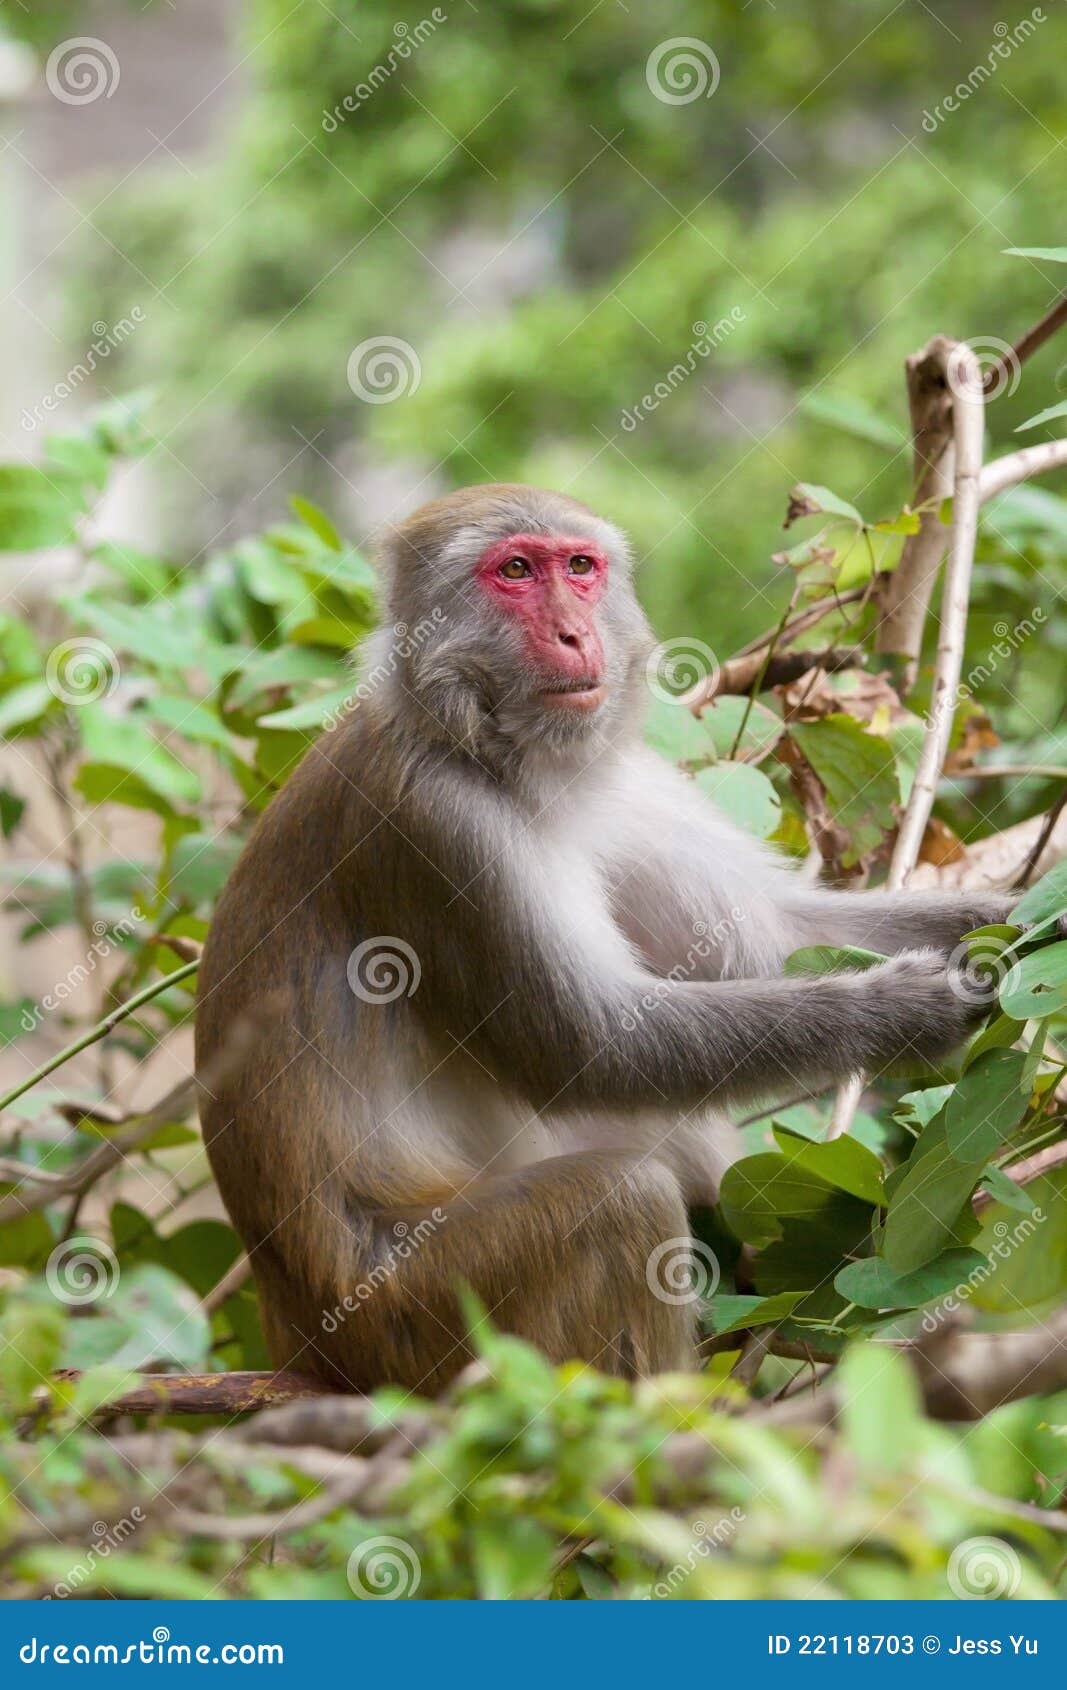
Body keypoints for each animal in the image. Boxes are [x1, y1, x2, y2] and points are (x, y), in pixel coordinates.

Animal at [195, 482, 1014, 1397]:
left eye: (578, 568)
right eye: (516, 571)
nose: (573, 634)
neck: (501, 754)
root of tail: (295, 1338)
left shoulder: (627, 784)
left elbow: (775, 938)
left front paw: (1012, 915)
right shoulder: (438, 825)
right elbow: (587, 1045)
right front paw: (906, 1010)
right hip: (409, 1324)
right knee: (621, 1200)